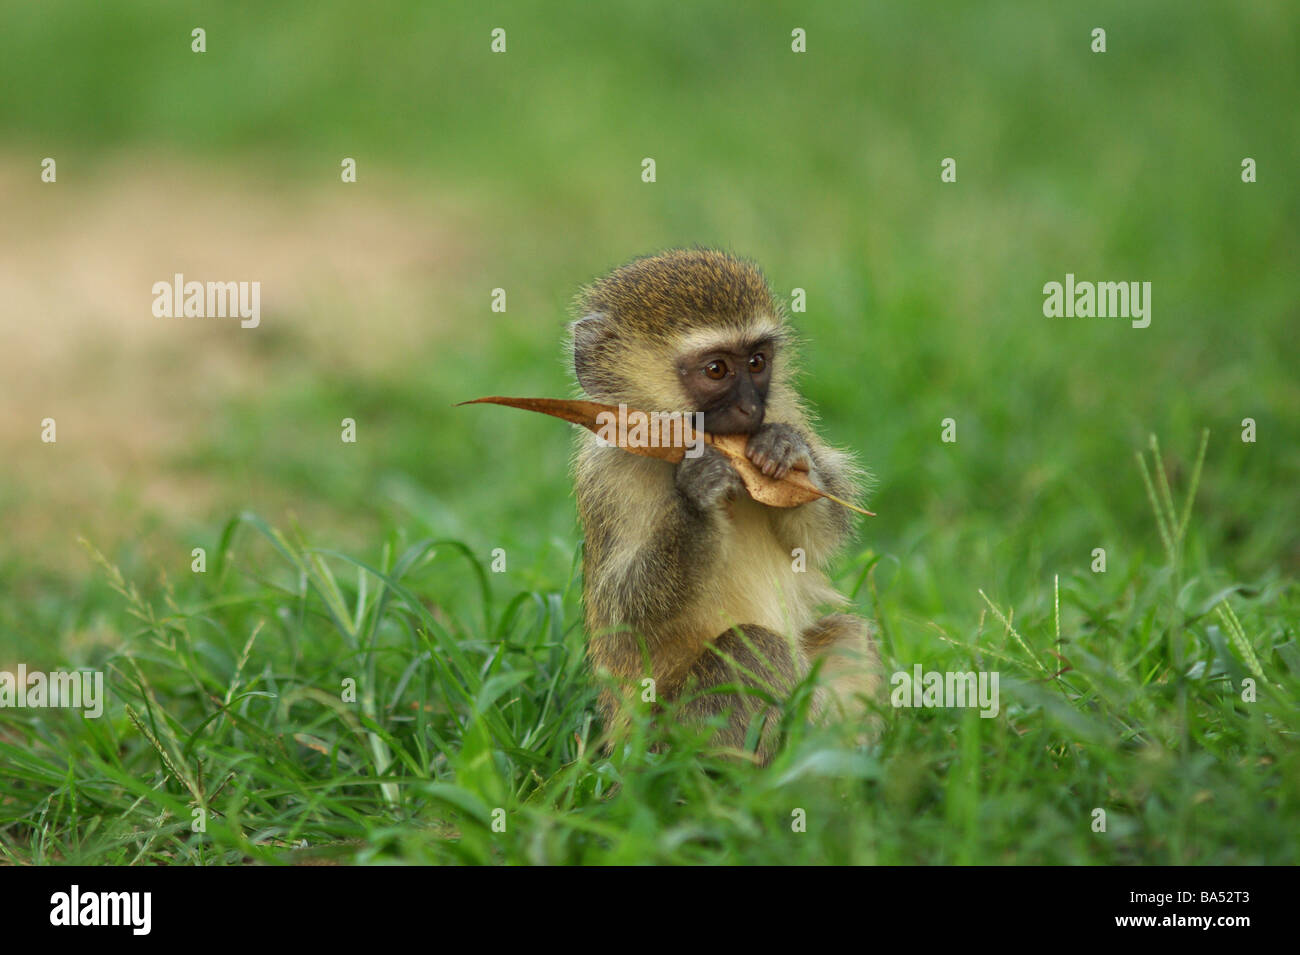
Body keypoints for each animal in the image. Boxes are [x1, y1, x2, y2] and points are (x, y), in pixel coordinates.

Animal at [569, 248, 881, 763]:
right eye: (716, 370)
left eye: (757, 362)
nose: (751, 410)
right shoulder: (605, 478)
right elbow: (624, 607)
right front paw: (697, 497)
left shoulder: (783, 411)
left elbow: (817, 539)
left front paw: (787, 452)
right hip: (665, 738)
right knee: (752, 647)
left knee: (847, 636)